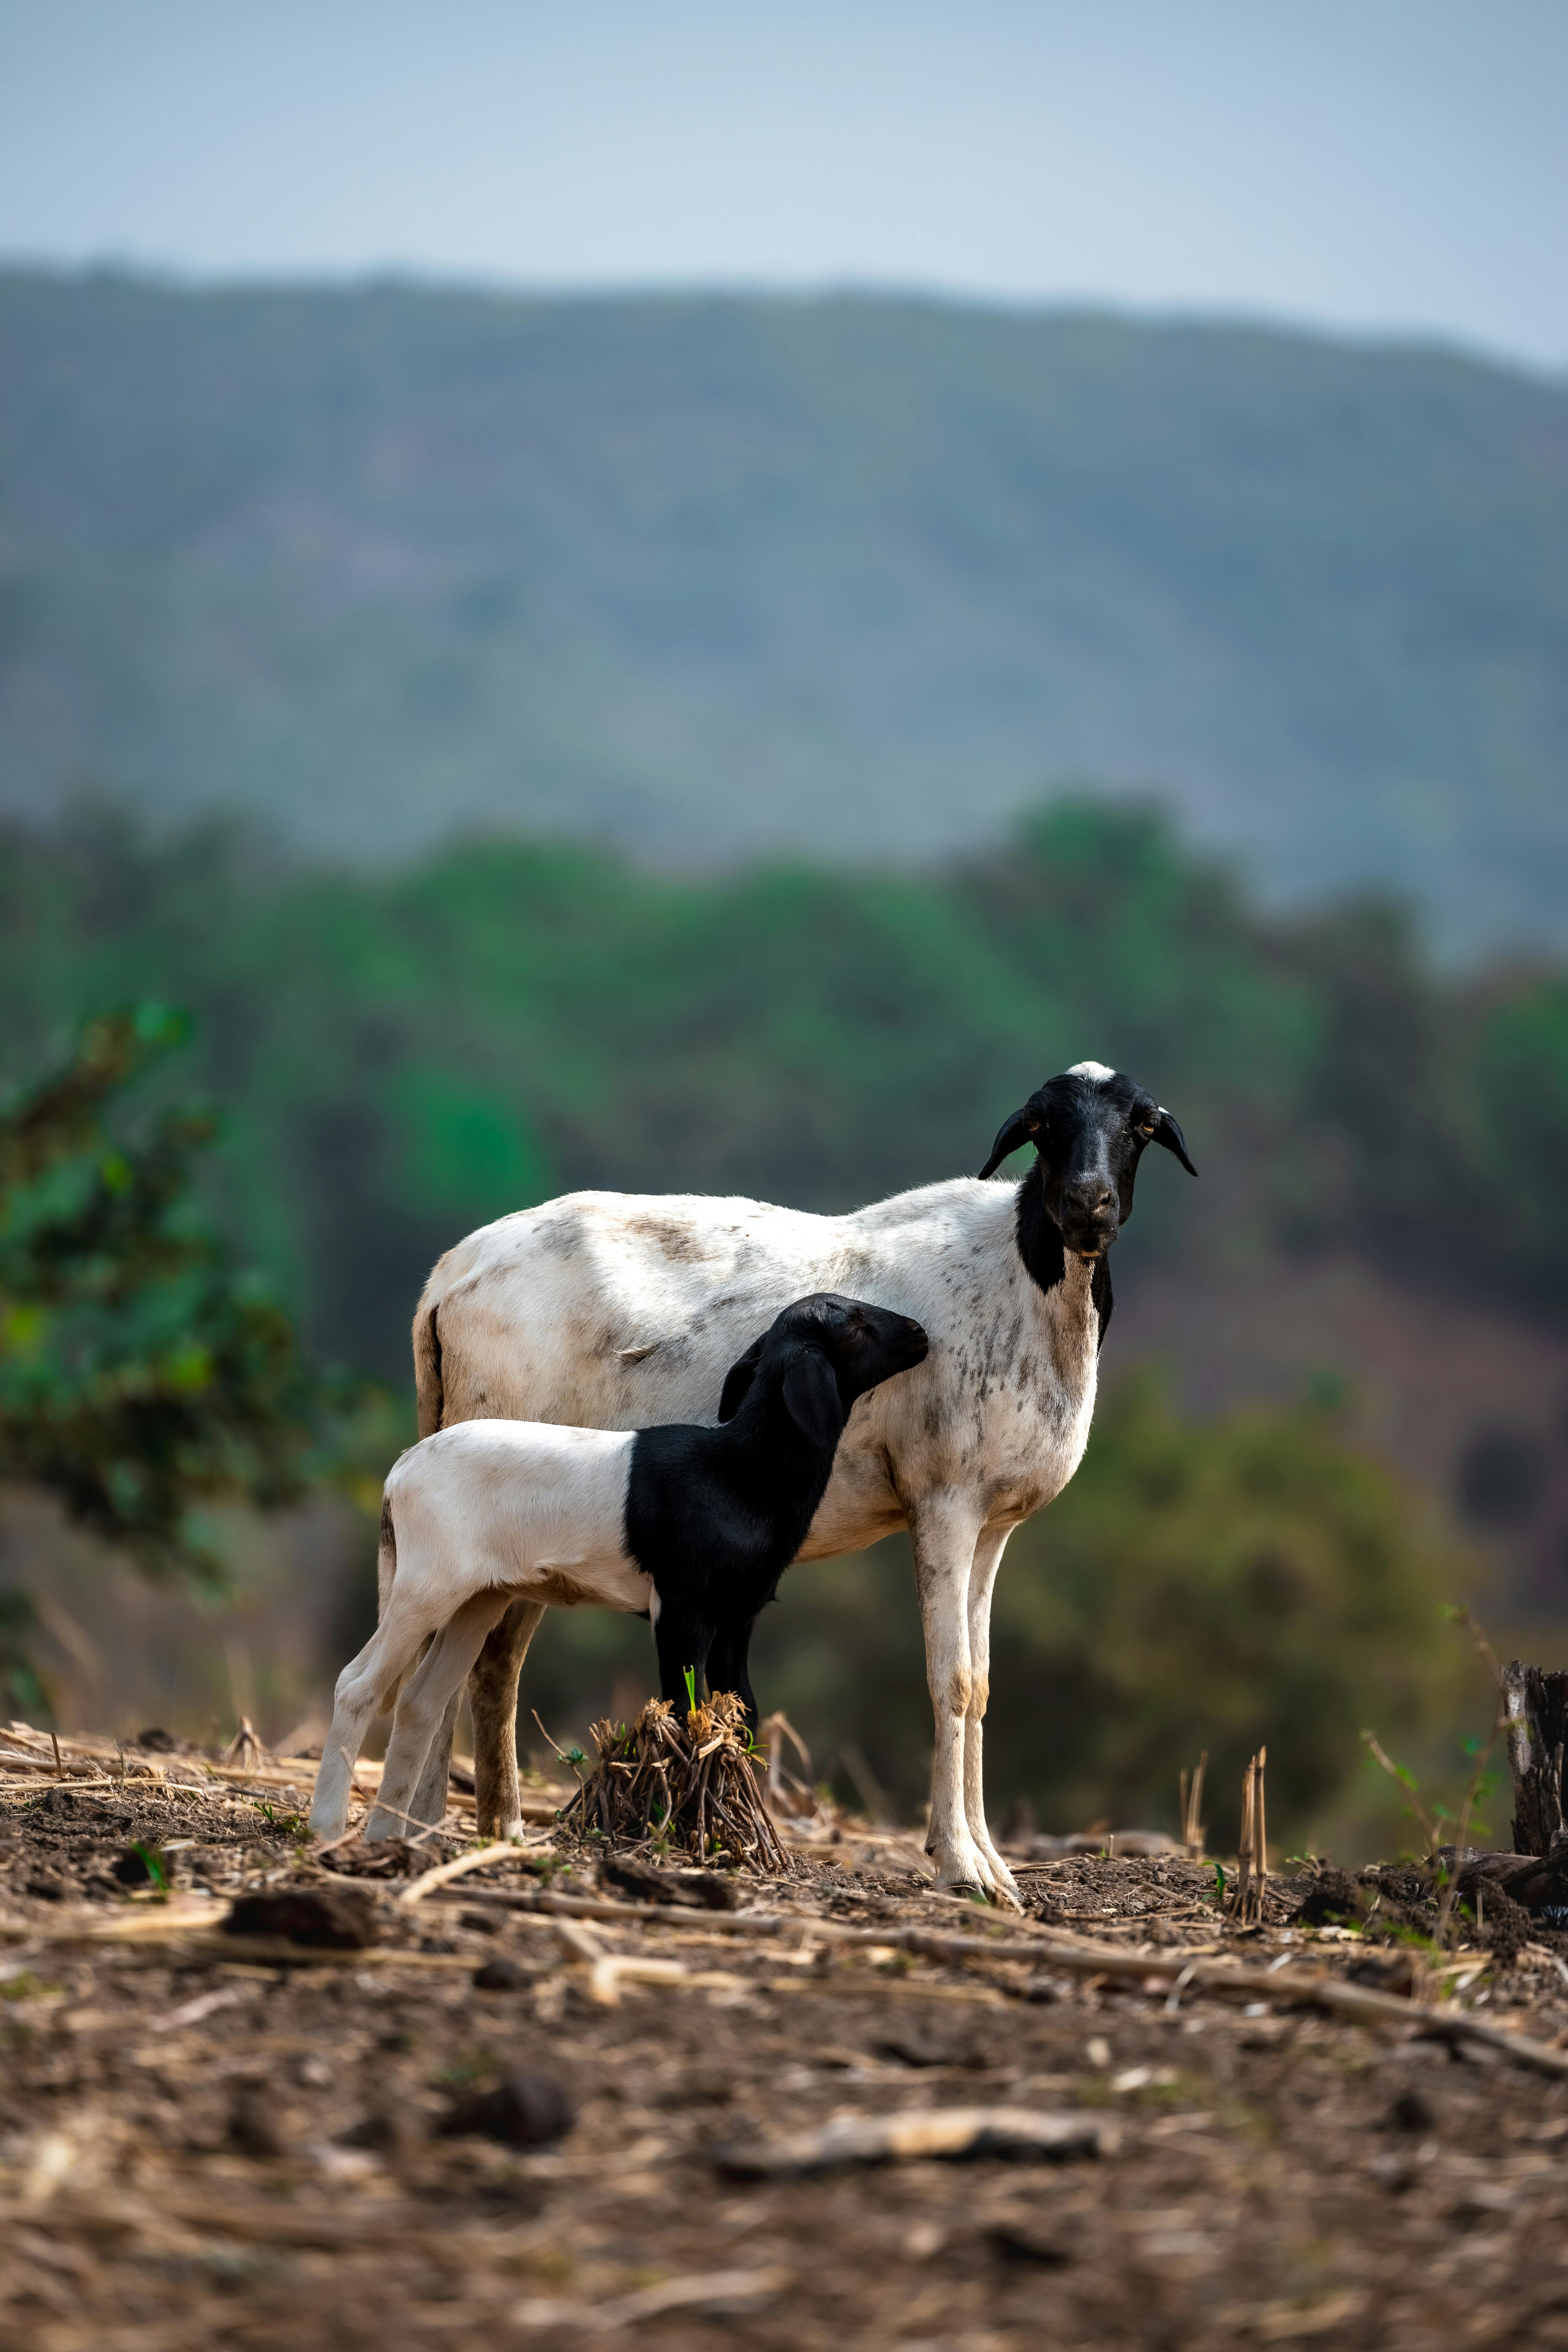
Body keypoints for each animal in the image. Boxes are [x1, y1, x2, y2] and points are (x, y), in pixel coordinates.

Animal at [308, 1293, 928, 1843]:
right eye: (854, 1326)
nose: (921, 1333)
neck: (740, 1469)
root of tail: (399, 1473)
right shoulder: (682, 1611)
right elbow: (684, 1710)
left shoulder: (738, 1616)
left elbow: (743, 1714)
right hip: (425, 1586)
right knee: (358, 1686)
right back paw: (328, 1830)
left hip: (477, 1599)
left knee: (421, 1703)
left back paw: (387, 1836)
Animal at [407, 1060, 1195, 1902]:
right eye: (1043, 1127)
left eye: (1142, 1126)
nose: (1088, 1203)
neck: (1025, 1284)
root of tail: (447, 1280)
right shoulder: (944, 1501)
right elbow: (949, 1679)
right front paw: (959, 1865)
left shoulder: (994, 1523)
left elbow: (982, 1684)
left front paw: (992, 1864)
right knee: (475, 1663)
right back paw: (450, 1827)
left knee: (479, 1663)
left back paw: (468, 1829)